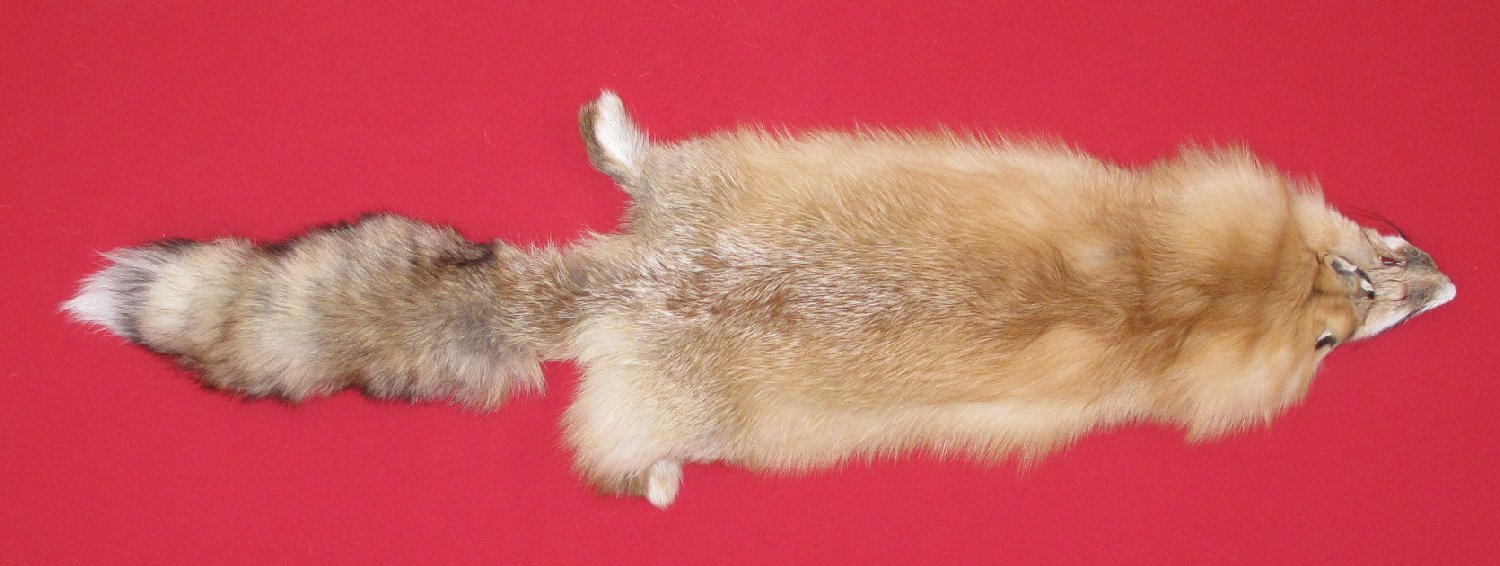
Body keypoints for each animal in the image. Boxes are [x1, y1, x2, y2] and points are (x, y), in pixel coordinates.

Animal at [65, 92, 1456, 508]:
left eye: (1380, 252)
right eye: (1341, 329)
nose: (1449, 279)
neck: (1175, 286)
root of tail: (627, 290)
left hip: (702, 178)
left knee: (634, 163)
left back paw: (611, 133)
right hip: (681, 392)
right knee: (612, 449)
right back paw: (660, 483)